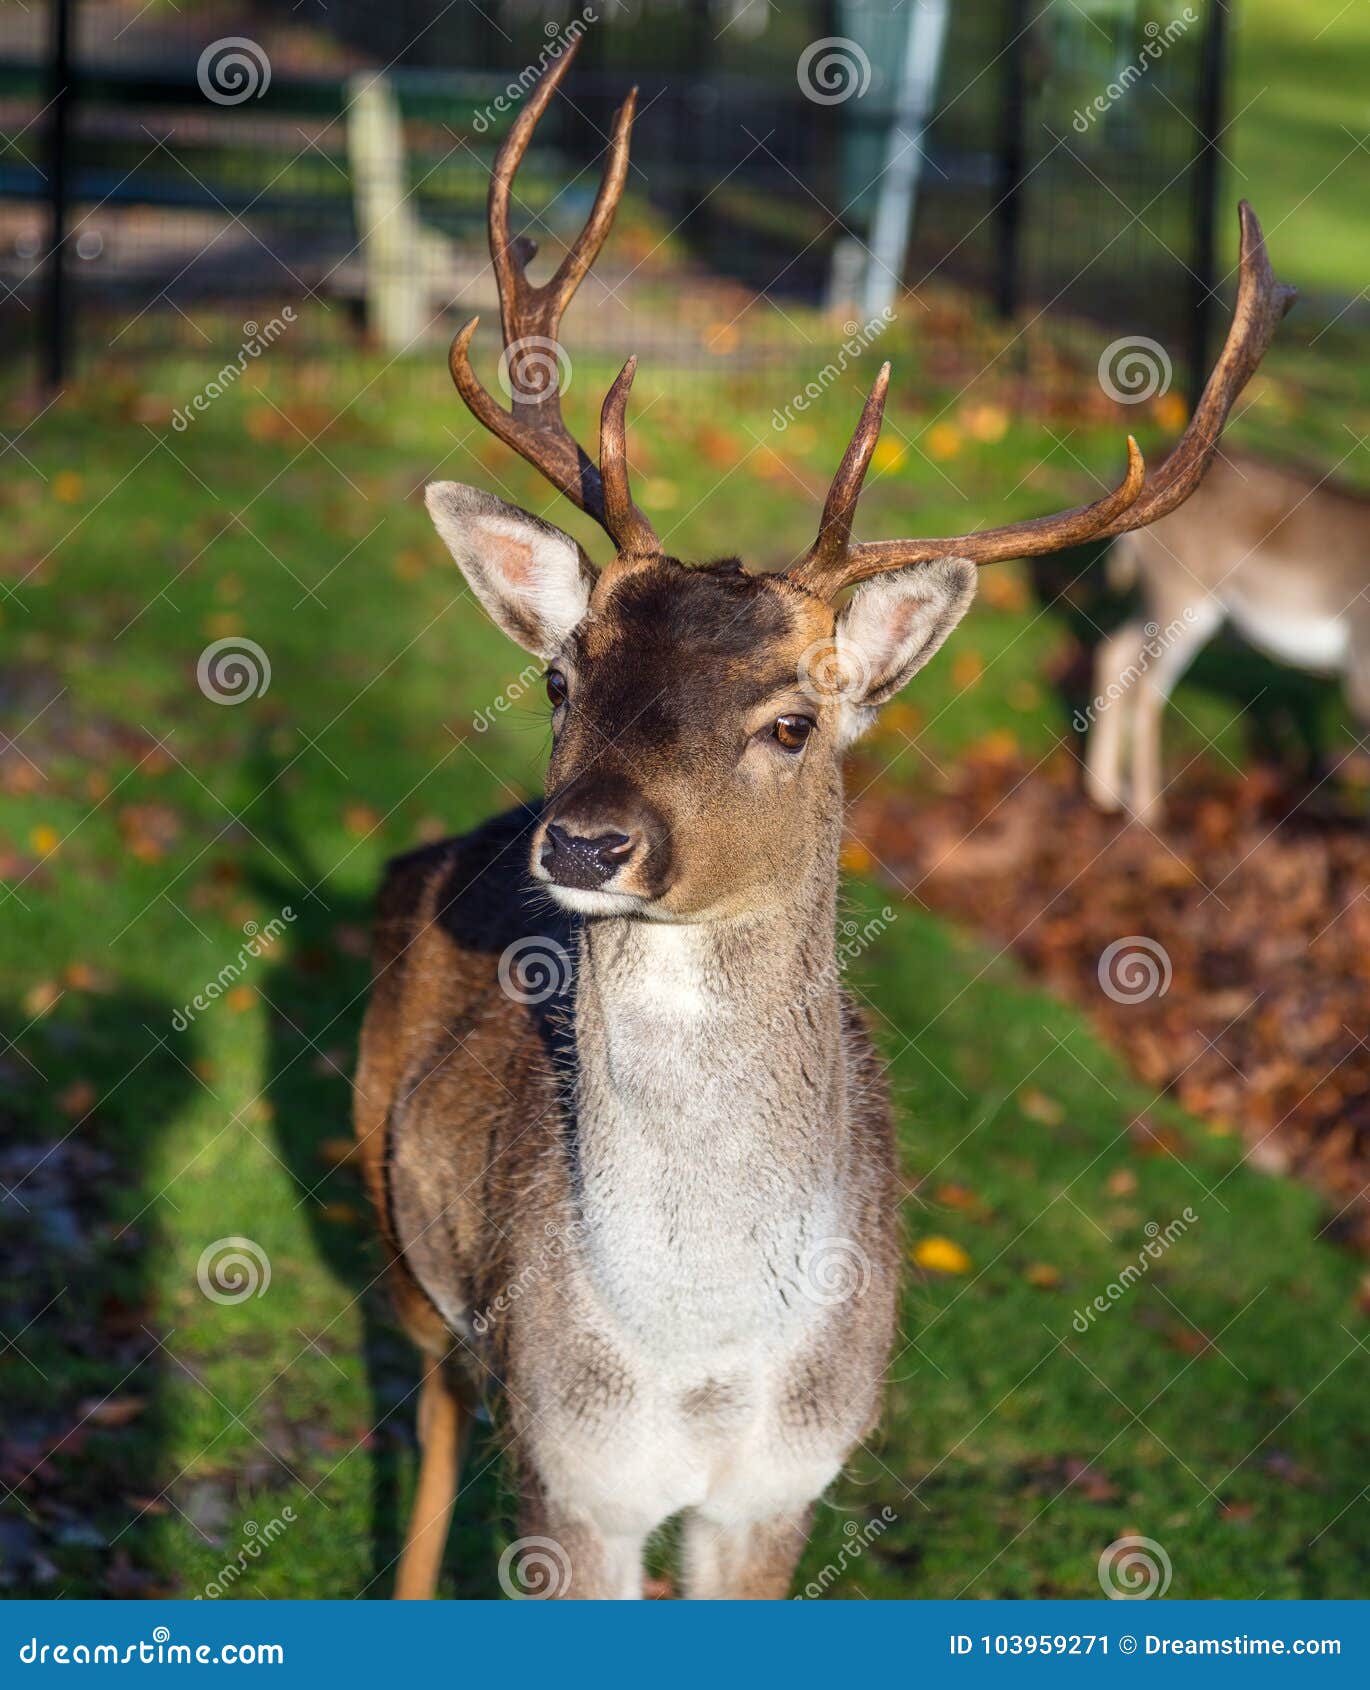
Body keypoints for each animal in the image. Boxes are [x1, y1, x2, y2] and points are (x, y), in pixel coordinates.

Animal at [352, 39, 1293, 1600]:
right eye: (560, 677)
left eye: (790, 722)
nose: (583, 840)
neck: (698, 1356)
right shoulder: (568, 1465)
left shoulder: (789, 1475)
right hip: (400, 1232)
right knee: (424, 1417)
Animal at [1084, 452, 1368, 821]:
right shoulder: (1361, 663)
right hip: (1184, 599)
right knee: (1148, 688)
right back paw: (1149, 812)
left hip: (1158, 605)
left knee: (1114, 650)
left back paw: (1105, 792)